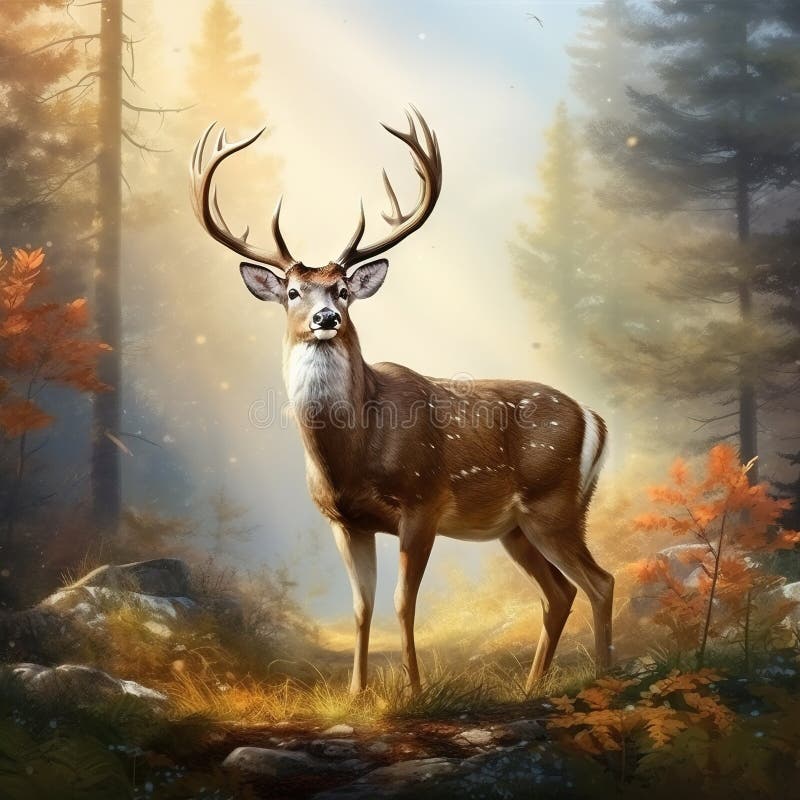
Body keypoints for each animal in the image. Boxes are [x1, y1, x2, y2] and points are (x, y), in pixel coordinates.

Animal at [191, 107, 614, 695]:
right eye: (294, 292)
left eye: (344, 289)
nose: (327, 317)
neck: (353, 453)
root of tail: (595, 418)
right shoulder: (345, 521)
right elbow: (361, 607)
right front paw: (356, 693)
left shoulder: (423, 503)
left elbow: (402, 604)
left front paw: (413, 690)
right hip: (516, 527)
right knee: (560, 592)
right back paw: (532, 687)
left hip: (555, 502)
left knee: (601, 581)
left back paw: (604, 679)